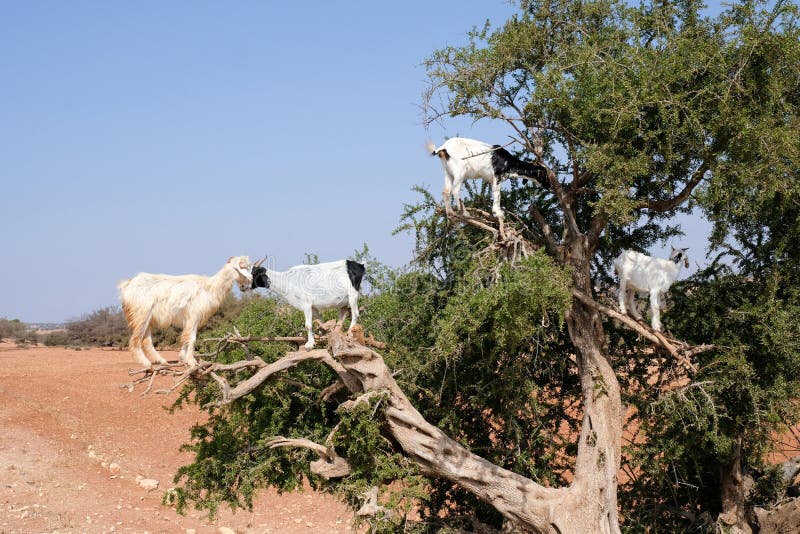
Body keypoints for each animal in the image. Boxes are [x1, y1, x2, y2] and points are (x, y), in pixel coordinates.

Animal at [118, 256, 256, 368]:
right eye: (244, 268)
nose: (247, 286)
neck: (209, 287)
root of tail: (127, 286)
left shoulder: (188, 319)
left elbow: (185, 337)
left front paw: (183, 358)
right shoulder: (194, 316)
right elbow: (192, 338)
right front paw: (191, 361)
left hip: (148, 318)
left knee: (147, 341)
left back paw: (162, 361)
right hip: (141, 314)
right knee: (136, 340)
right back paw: (146, 363)